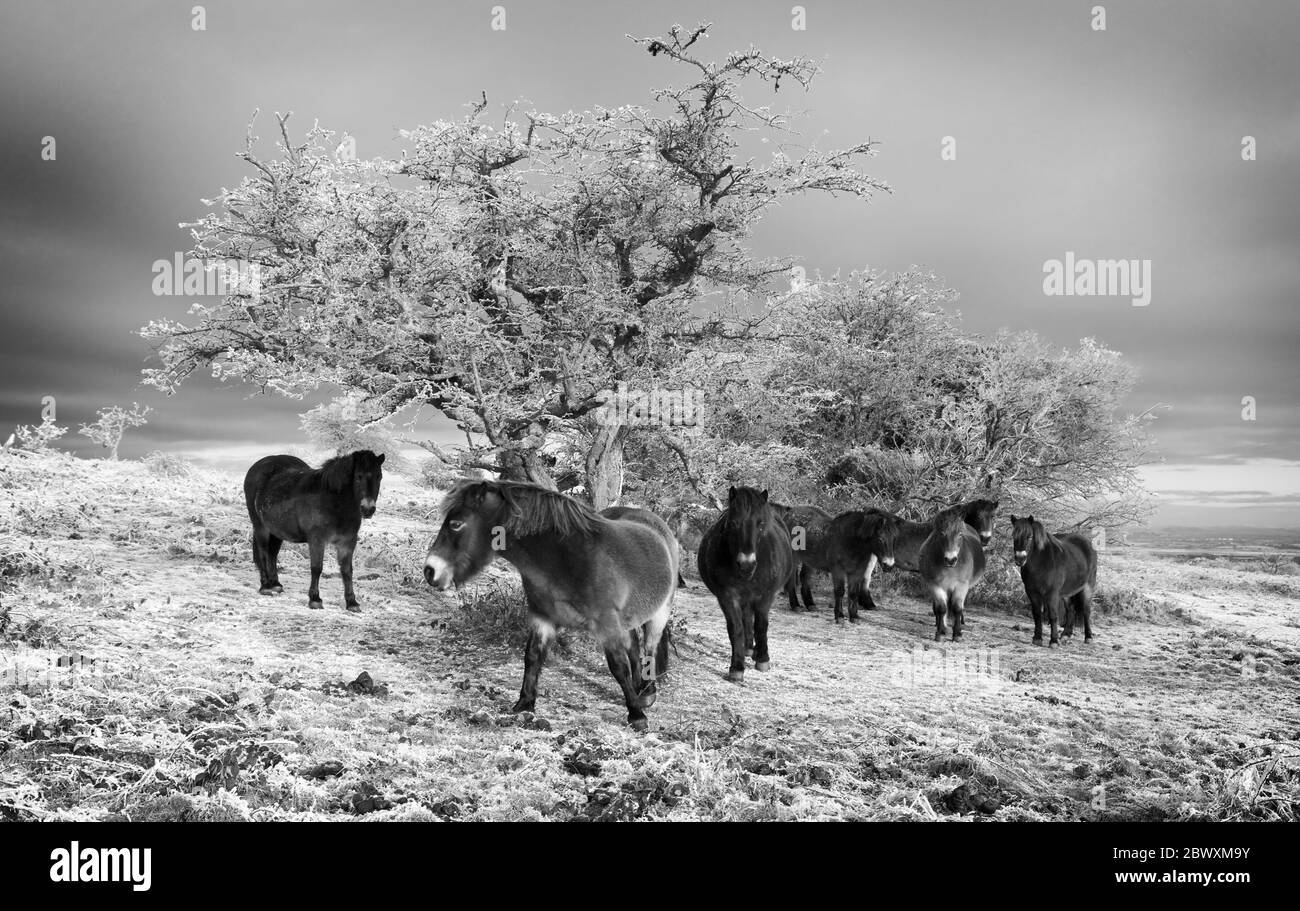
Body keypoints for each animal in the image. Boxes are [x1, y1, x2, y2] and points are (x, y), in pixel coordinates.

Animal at [243, 450, 385, 612]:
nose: (368, 509)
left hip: (276, 531)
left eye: (379, 476)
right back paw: (266, 587)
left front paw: (352, 602)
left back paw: (276, 585)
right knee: (263, 553)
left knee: (272, 555)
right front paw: (315, 599)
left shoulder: (347, 542)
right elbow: (317, 568)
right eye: (358, 476)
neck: (335, 503)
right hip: (260, 527)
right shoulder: (317, 540)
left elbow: (347, 571)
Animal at [423, 480, 677, 731]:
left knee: (649, 648)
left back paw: (646, 693)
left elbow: (618, 666)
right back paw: (639, 690)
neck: (567, 558)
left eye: (456, 524)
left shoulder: (605, 624)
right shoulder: (542, 617)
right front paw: (525, 704)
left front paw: (636, 715)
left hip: (659, 614)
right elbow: (533, 656)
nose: (430, 571)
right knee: (634, 647)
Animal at [697, 486, 794, 682]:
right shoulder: (728, 597)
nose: (746, 564)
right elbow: (736, 628)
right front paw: (737, 667)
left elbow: (761, 625)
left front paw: (763, 659)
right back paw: (748, 647)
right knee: (746, 619)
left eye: (761, 524)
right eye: (733, 523)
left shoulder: (765, 596)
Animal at [918, 505, 987, 641]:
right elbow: (941, 609)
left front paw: (956, 634)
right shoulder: (936, 585)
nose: (951, 559)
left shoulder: (961, 586)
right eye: (942, 533)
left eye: (960, 534)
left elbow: (957, 609)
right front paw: (939, 633)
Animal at [1010, 515, 1097, 646]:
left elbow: (1053, 615)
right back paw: (1065, 635)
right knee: (1071, 609)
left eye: (1029, 536)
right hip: (1066, 592)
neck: (1042, 562)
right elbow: (1037, 614)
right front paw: (1037, 638)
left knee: (1086, 610)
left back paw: (1088, 637)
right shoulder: (1032, 592)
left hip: (1087, 588)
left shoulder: (1052, 593)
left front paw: (1053, 641)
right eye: (1013, 536)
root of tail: (1088, 544)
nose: (1020, 559)